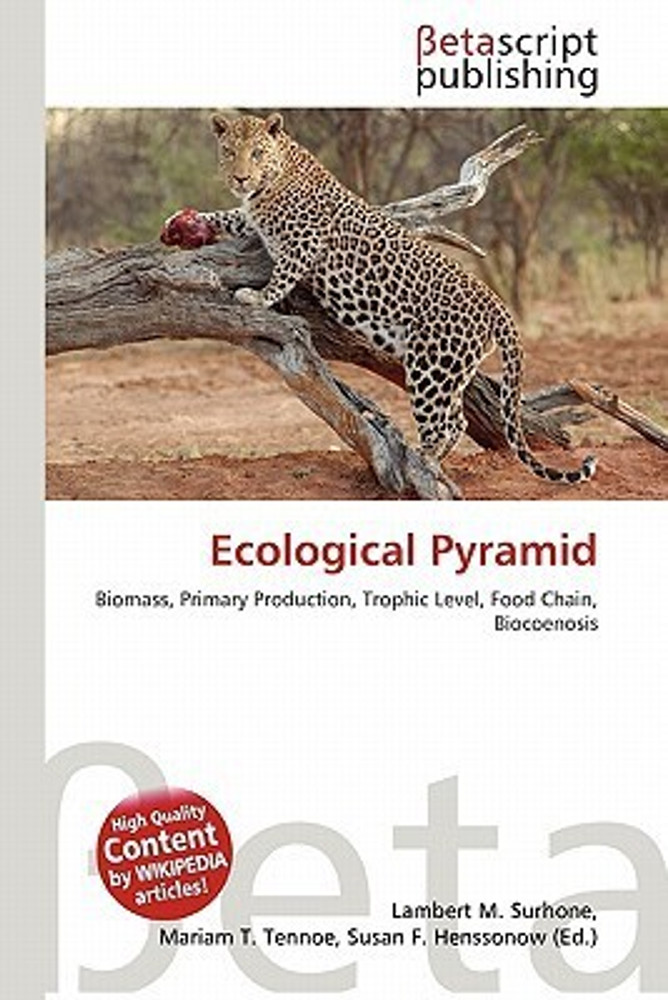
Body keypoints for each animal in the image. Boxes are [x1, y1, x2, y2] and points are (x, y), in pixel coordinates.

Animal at [162, 112, 595, 486]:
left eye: (256, 153)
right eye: (229, 150)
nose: (240, 177)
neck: (275, 178)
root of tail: (496, 303)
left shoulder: (304, 242)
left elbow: (282, 274)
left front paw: (257, 296)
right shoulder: (252, 215)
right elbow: (232, 215)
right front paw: (186, 222)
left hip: (432, 365)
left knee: (445, 422)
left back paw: (423, 460)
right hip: (452, 369)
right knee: (458, 419)